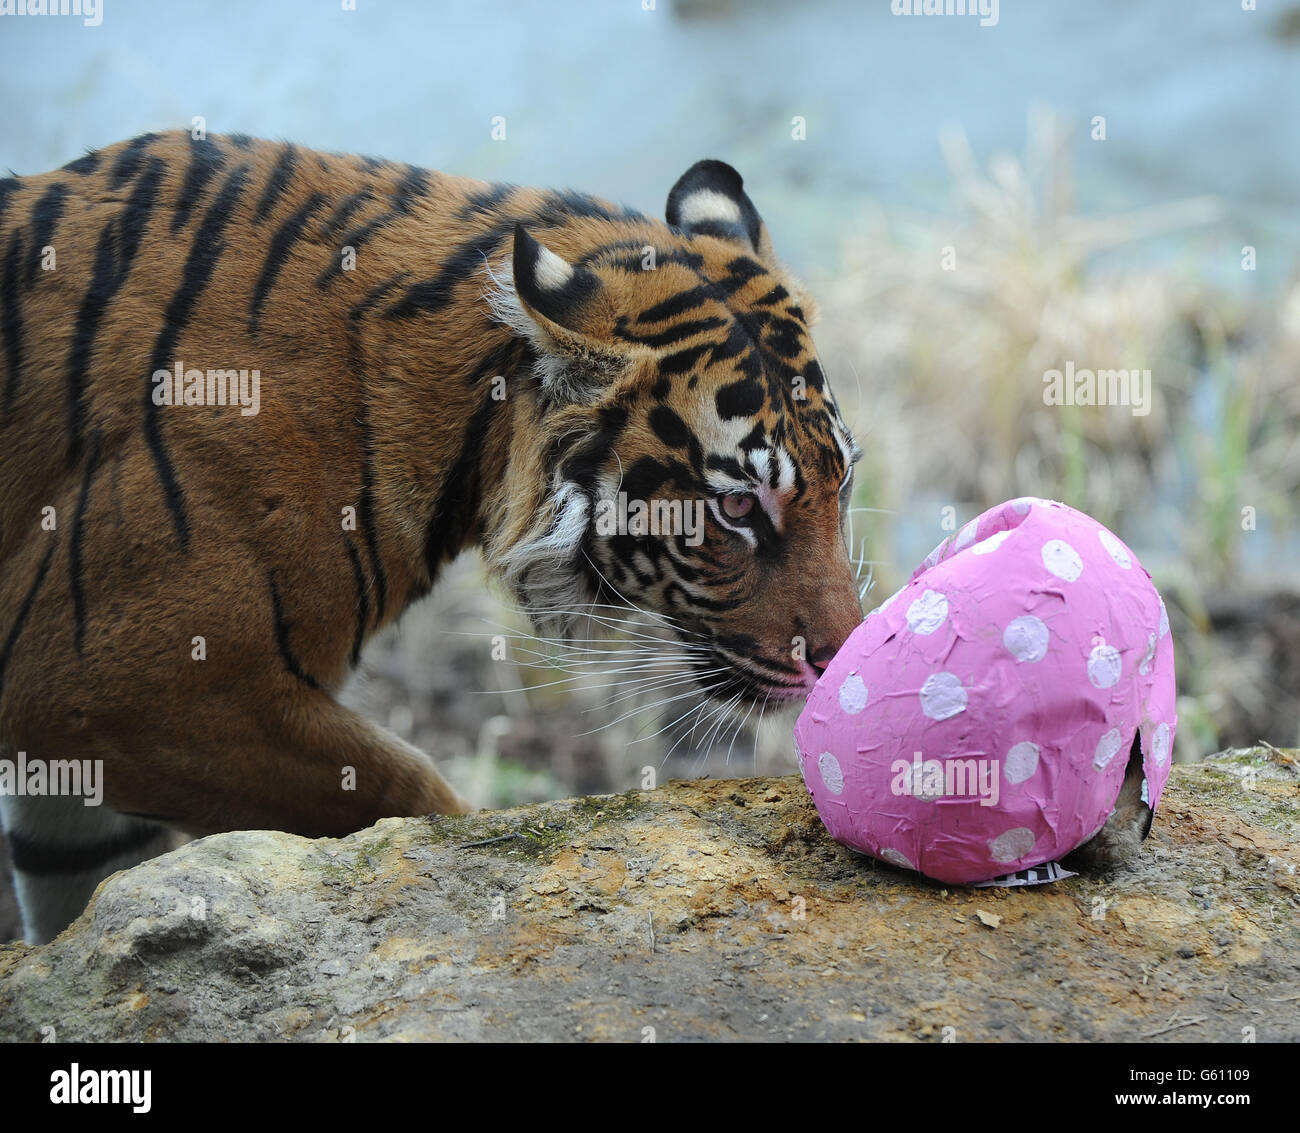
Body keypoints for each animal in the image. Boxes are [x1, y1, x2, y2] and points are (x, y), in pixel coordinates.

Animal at [0, 133, 1148, 945]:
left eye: (844, 481)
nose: (835, 656)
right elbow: (410, 794)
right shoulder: (132, 685)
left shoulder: (77, 749)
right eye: (739, 507)